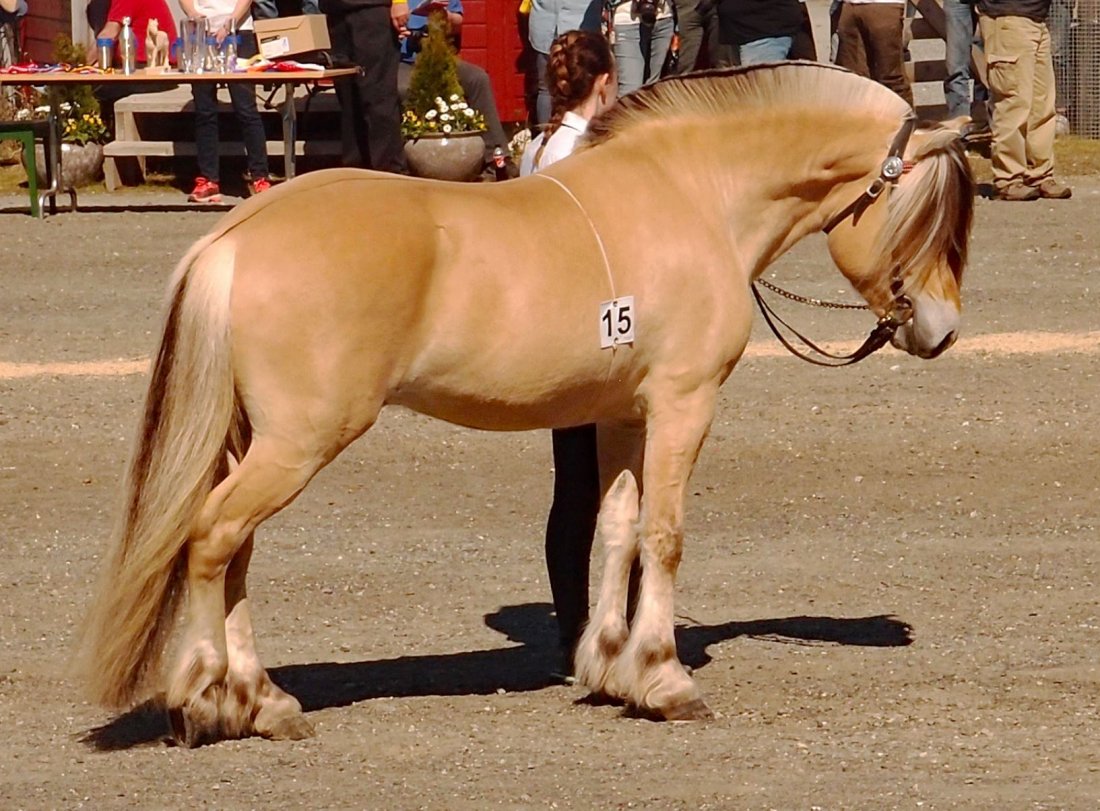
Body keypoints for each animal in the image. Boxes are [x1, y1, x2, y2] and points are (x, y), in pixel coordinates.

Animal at [76, 62, 974, 745]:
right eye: (924, 214)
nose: (941, 329)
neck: (694, 195)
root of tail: (234, 237)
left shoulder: (620, 414)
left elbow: (614, 529)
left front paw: (609, 666)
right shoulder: (682, 404)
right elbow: (664, 536)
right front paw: (666, 679)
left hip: (255, 441)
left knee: (232, 551)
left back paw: (263, 699)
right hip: (298, 443)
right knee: (212, 539)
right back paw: (212, 697)